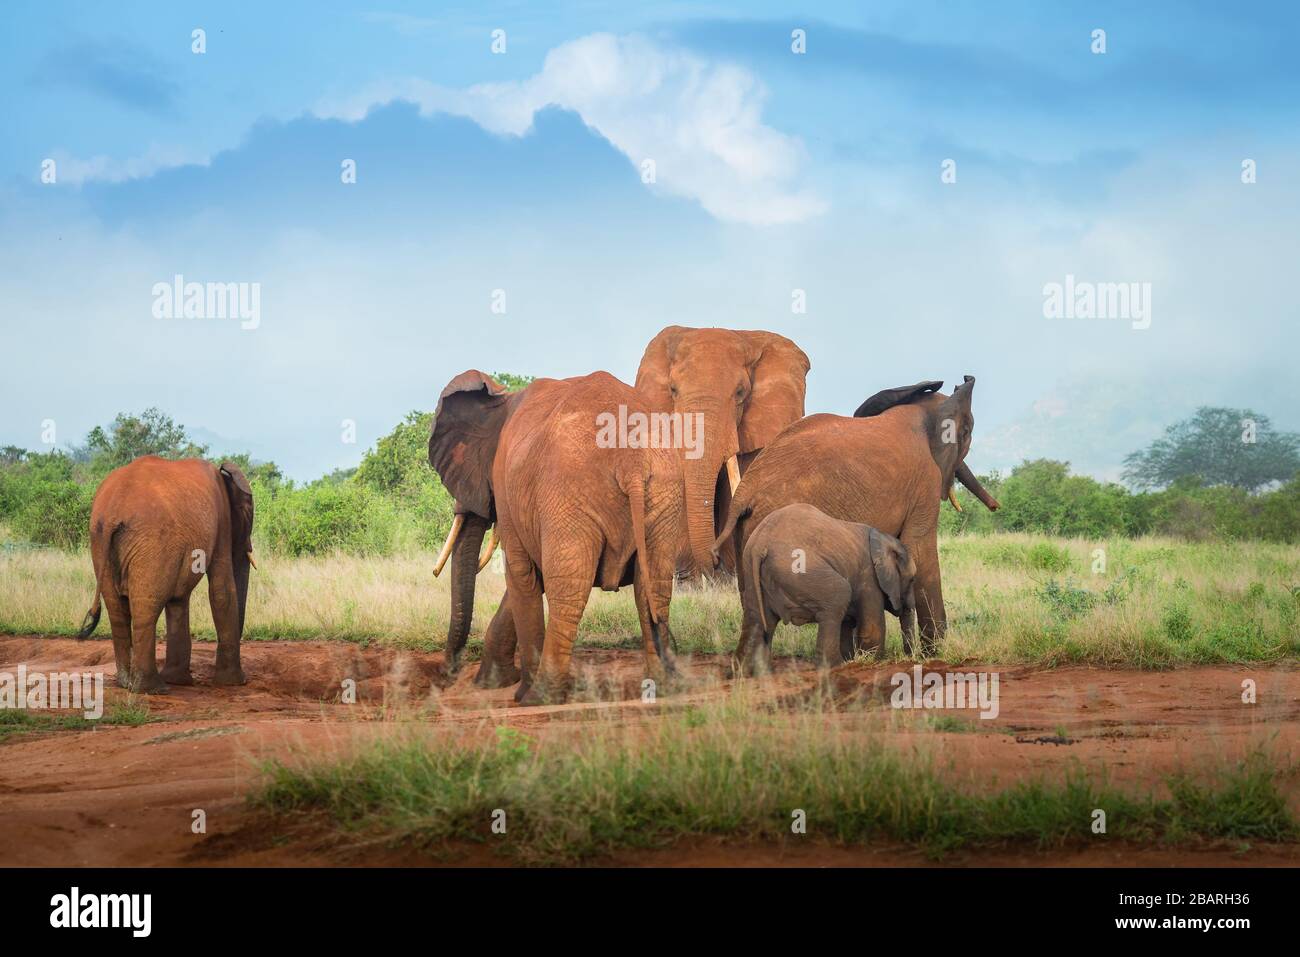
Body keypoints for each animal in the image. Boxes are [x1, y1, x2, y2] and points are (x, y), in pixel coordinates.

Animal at [75, 456, 255, 692]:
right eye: (248, 513)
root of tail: (113, 512)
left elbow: (179, 598)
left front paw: (178, 680)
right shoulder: (222, 520)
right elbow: (222, 589)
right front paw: (234, 682)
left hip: (98, 541)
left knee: (117, 608)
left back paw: (127, 683)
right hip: (151, 543)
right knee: (147, 605)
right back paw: (151, 688)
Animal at [429, 370, 685, 704]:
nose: (447, 673)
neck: (503, 400)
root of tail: (631, 460)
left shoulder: (507, 485)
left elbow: (521, 574)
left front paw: (517, 691)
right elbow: (530, 578)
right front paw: (493, 682)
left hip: (567, 491)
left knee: (567, 590)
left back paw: (540, 697)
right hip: (664, 491)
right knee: (653, 586)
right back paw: (664, 686)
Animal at [740, 503, 916, 670]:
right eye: (912, 579)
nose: (912, 657)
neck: (884, 539)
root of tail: (760, 544)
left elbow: (848, 624)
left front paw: (852, 658)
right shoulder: (869, 577)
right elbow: (871, 625)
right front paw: (871, 661)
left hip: (751, 570)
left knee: (758, 620)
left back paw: (757, 673)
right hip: (798, 570)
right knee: (839, 595)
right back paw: (835, 666)